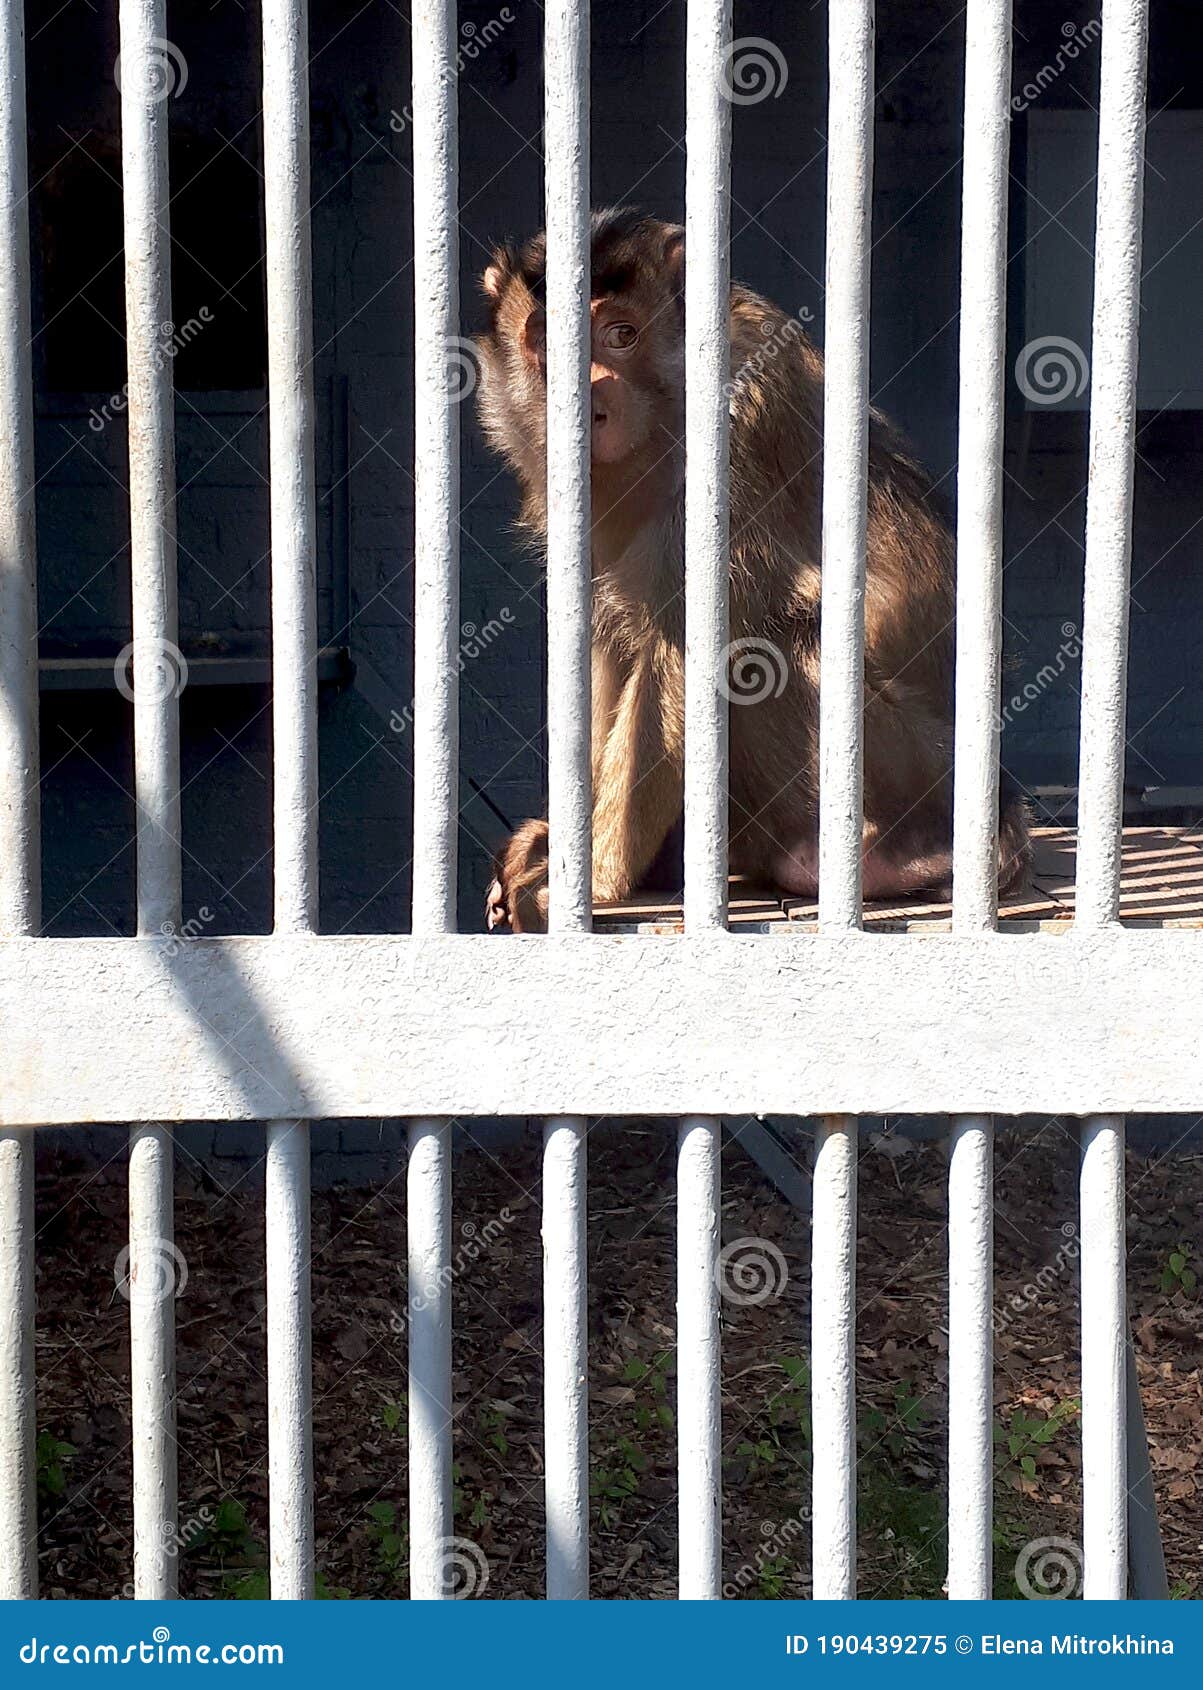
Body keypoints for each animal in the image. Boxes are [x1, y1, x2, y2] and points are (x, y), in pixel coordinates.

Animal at [474, 207, 1030, 932]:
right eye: (550, 342)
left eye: (622, 335)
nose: (587, 399)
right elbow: (607, 639)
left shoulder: (737, 427)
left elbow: (689, 651)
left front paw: (590, 876)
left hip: (916, 766)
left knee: (773, 647)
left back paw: (897, 858)